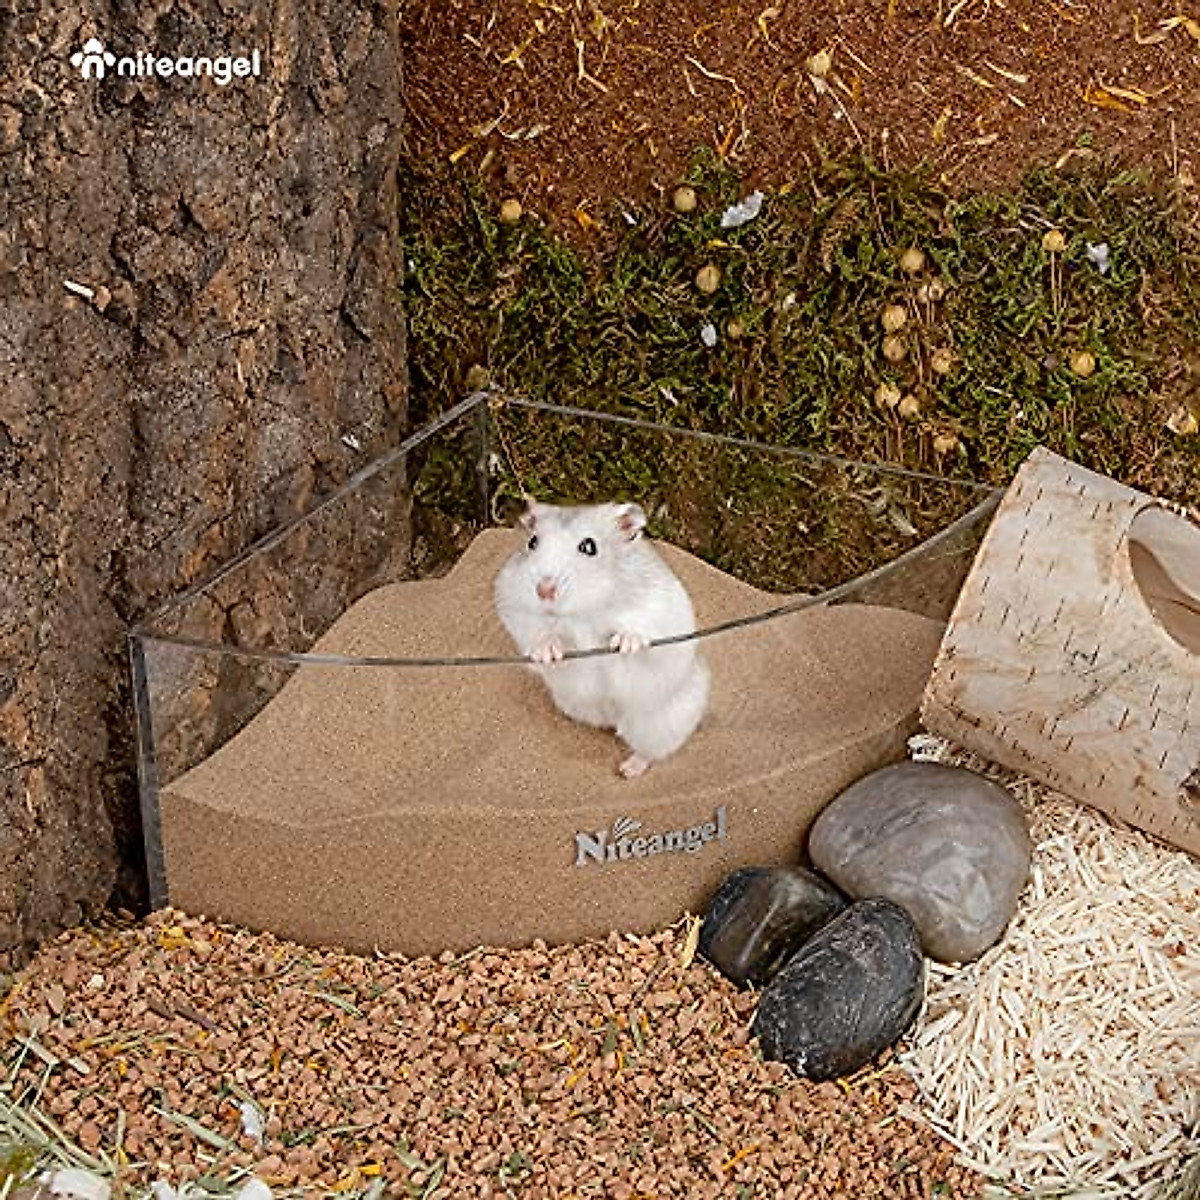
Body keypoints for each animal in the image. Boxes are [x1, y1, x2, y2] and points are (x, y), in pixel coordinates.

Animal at [494, 499, 710, 778]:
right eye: (532, 542)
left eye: (589, 547)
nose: (544, 591)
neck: (583, 611)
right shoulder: (513, 605)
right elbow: (538, 632)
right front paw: (548, 652)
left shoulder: (659, 608)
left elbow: (643, 628)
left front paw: (625, 643)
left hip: (657, 726)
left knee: (650, 752)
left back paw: (627, 771)